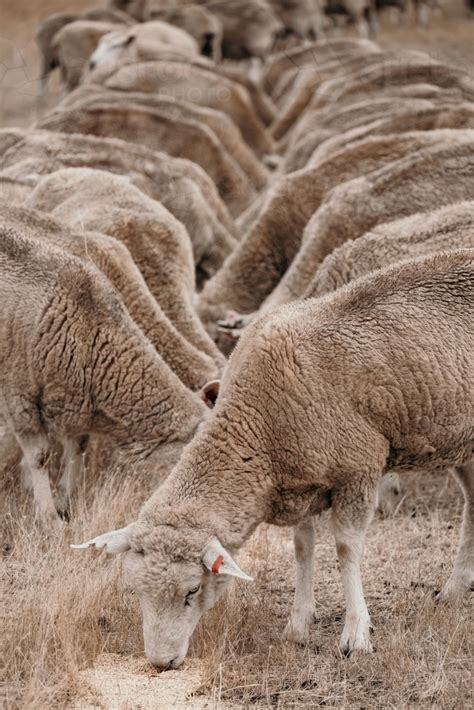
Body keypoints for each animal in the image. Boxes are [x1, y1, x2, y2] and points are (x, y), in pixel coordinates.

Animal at [0, 224, 208, 525]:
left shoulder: (77, 400)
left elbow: (77, 447)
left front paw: (64, 500)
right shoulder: (19, 392)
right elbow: (40, 455)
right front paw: (48, 517)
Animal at [73, 249, 474, 666]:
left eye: (192, 591)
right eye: (136, 591)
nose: (160, 663)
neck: (258, 422)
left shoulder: (359, 467)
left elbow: (346, 549)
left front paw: (356, 634)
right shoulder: (301, 482)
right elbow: (302, 546)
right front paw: (298, 624)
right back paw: (455, 588)